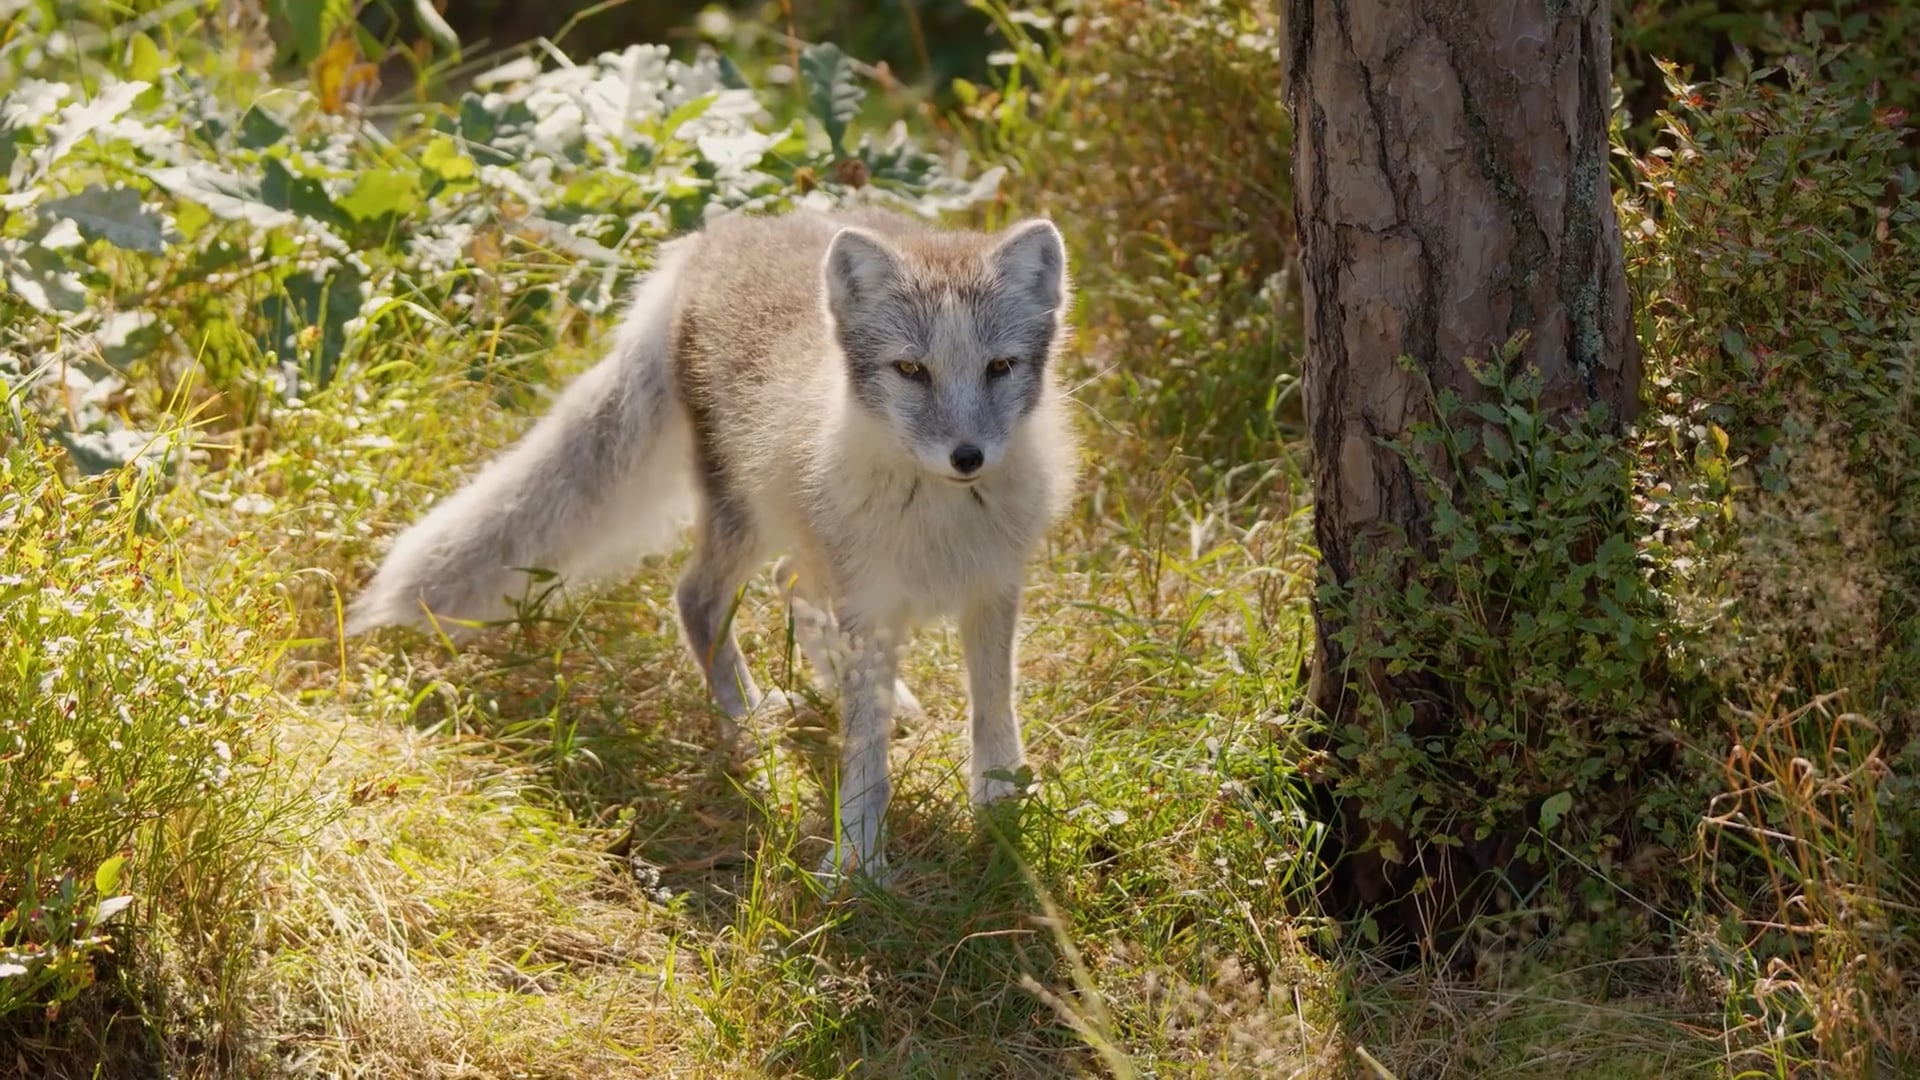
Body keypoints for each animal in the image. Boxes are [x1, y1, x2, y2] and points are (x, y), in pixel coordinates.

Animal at [344, 205, 1080, 880]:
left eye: (1000, 367)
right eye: (911, 370)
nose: (967, 456)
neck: (941, 513)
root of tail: (722, 233)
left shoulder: (992, 589)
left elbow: (993, 712)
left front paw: (1002, 814)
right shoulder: (870, 603)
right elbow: (865, 755)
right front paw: (856, 865)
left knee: (788, 583)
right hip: (741, 514)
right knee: (697, 597)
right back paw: (749, 721)